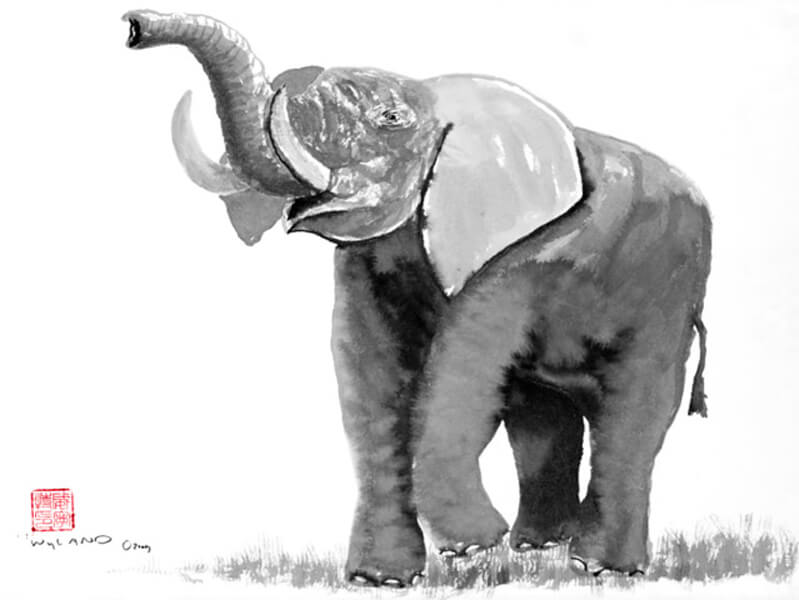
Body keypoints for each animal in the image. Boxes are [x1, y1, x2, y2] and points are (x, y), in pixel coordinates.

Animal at [124, 10, 712, 587]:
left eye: (390, 119)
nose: (133, 27)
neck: (446, 99)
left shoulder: (528, 257)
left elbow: (458, 375)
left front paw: (470, 549)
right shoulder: (368, 259)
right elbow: (371, 373)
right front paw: (380, 580)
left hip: (668, 288)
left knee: (634, 411)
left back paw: (597, 568)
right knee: (540, 415)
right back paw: (538, 548)